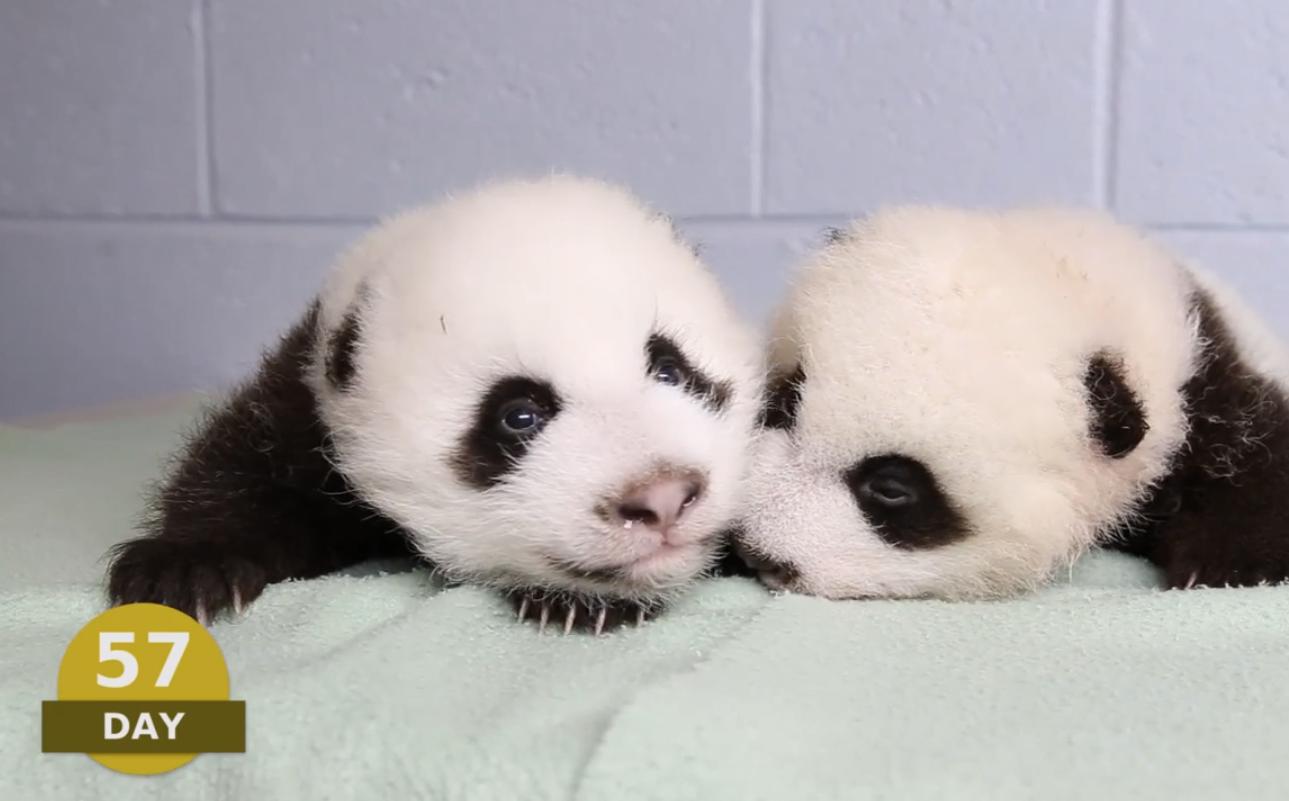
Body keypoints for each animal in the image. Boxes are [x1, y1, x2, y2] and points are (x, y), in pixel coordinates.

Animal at [106, 175, 762, 633]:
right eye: (518, 416)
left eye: (671, 369)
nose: (663, 497)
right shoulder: (311, 399)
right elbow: (247, 462)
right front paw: (186, 570)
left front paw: (581, 601)